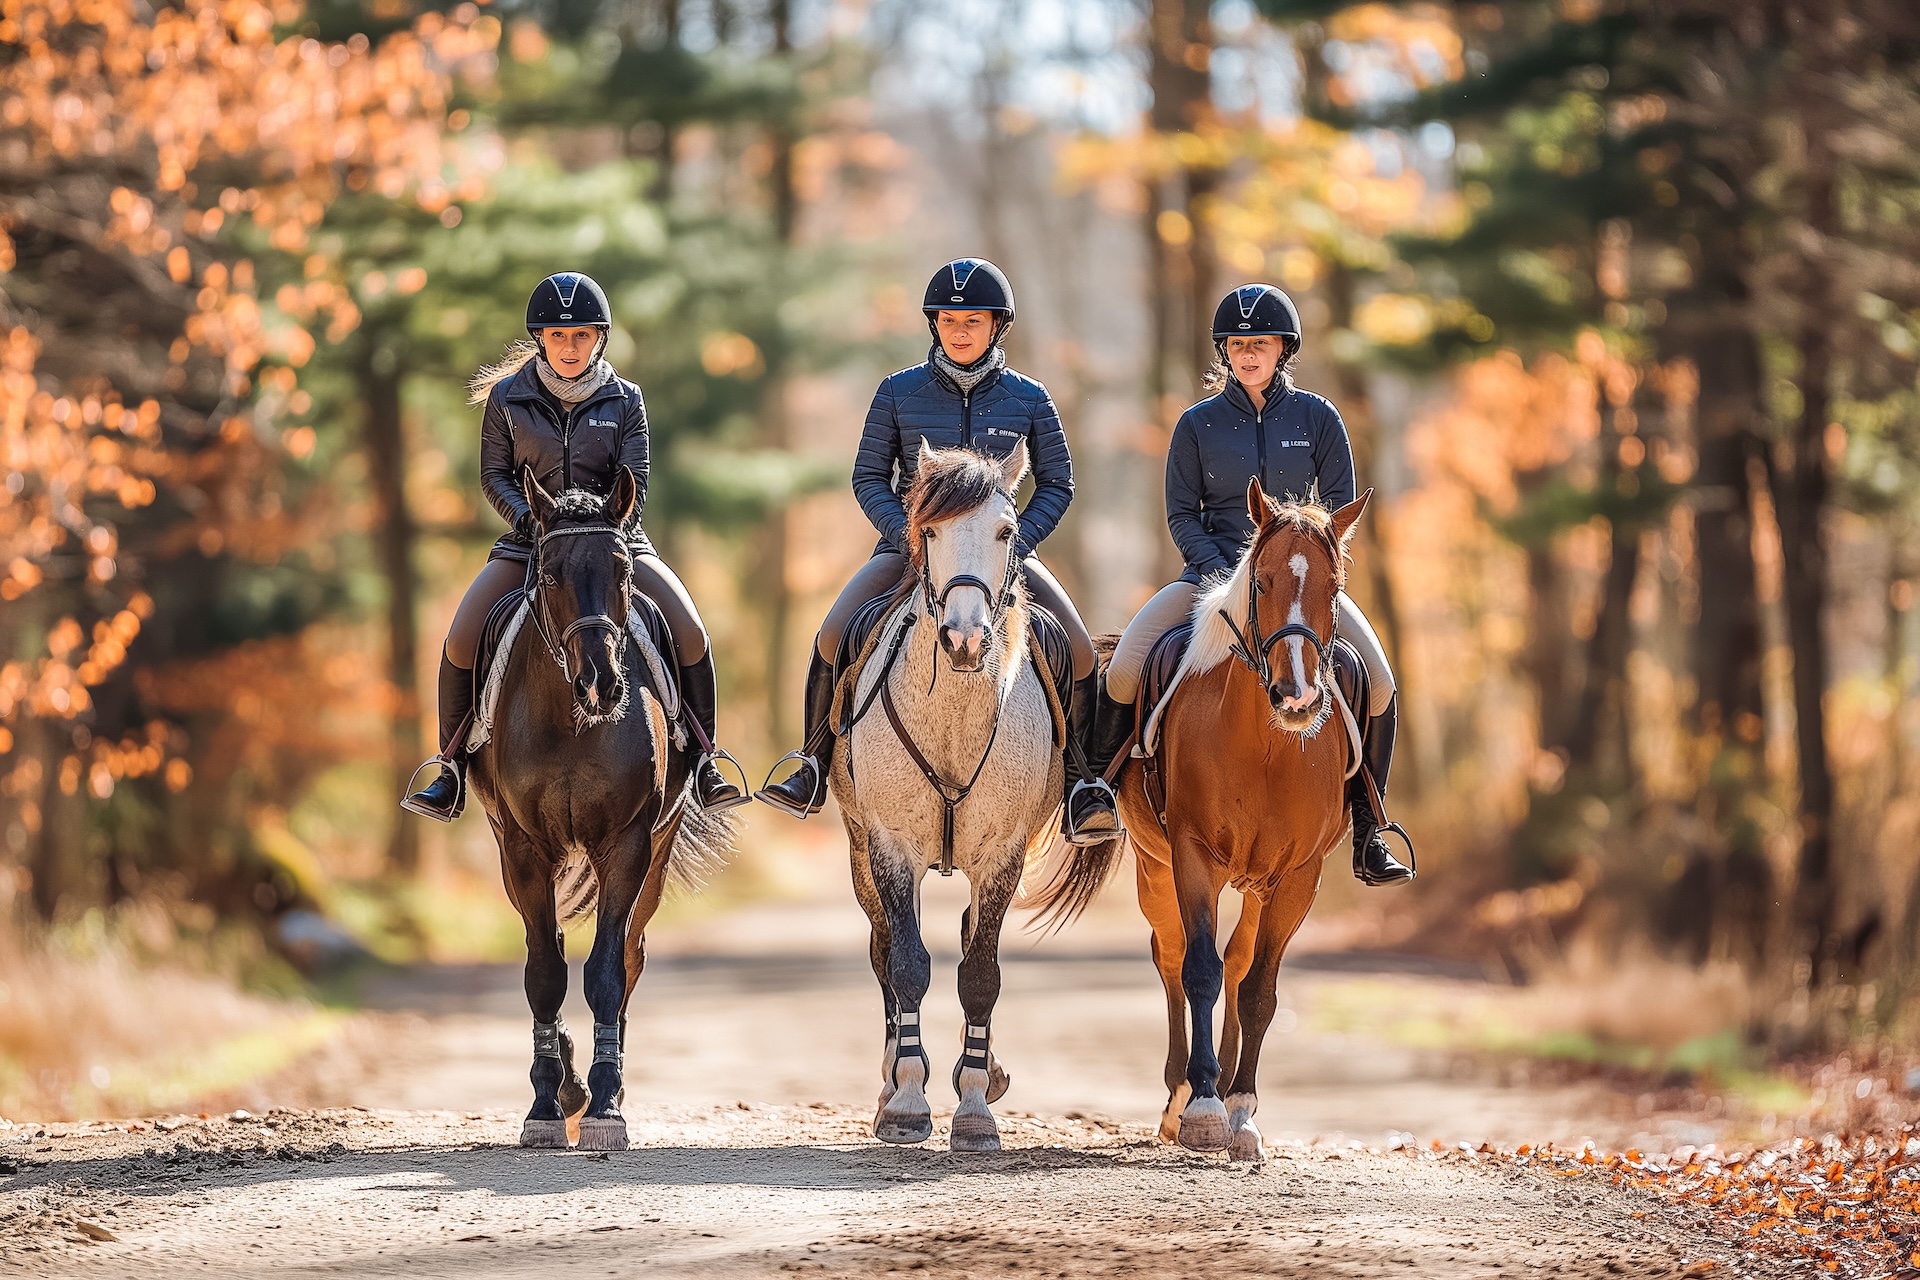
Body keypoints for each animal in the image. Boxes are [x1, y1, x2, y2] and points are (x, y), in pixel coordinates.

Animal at [466, 465, 735, 1151]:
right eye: (551, 573)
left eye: (621, 571)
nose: (601, 684)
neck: (570, 720)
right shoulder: (524, 847)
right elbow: (544, 971)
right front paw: (546, 1101)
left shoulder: (629, 842)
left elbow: (607, 971)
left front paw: (606, 1105)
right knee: (550, 943)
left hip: (657, 856)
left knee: (631, 957)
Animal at [832, 444, 1077, 1152]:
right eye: (931, 530)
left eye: (1006, 530)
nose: (965, 640)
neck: (954, 721)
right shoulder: (889, 846)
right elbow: (909, 964)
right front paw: (909, 1101)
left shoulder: (1003, 855)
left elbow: (980, 973)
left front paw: (973, 1109)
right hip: (861, 853)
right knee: (885, 947)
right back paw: (891, 1079)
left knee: (969, 939)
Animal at [1037, 479, 1372, 1162]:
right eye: (1262, 582)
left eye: (1334, 586)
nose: (1298, 698)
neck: (1268, 746)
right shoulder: (1194, 858)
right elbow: (1198, 971)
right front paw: (1204, 1109)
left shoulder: (1298, 876)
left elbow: (1259, 987)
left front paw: (1242, 1110)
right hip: (1156, 866)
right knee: (1170, 956)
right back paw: (1177, 1095)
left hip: (1257, 884)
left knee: (1239, 965)